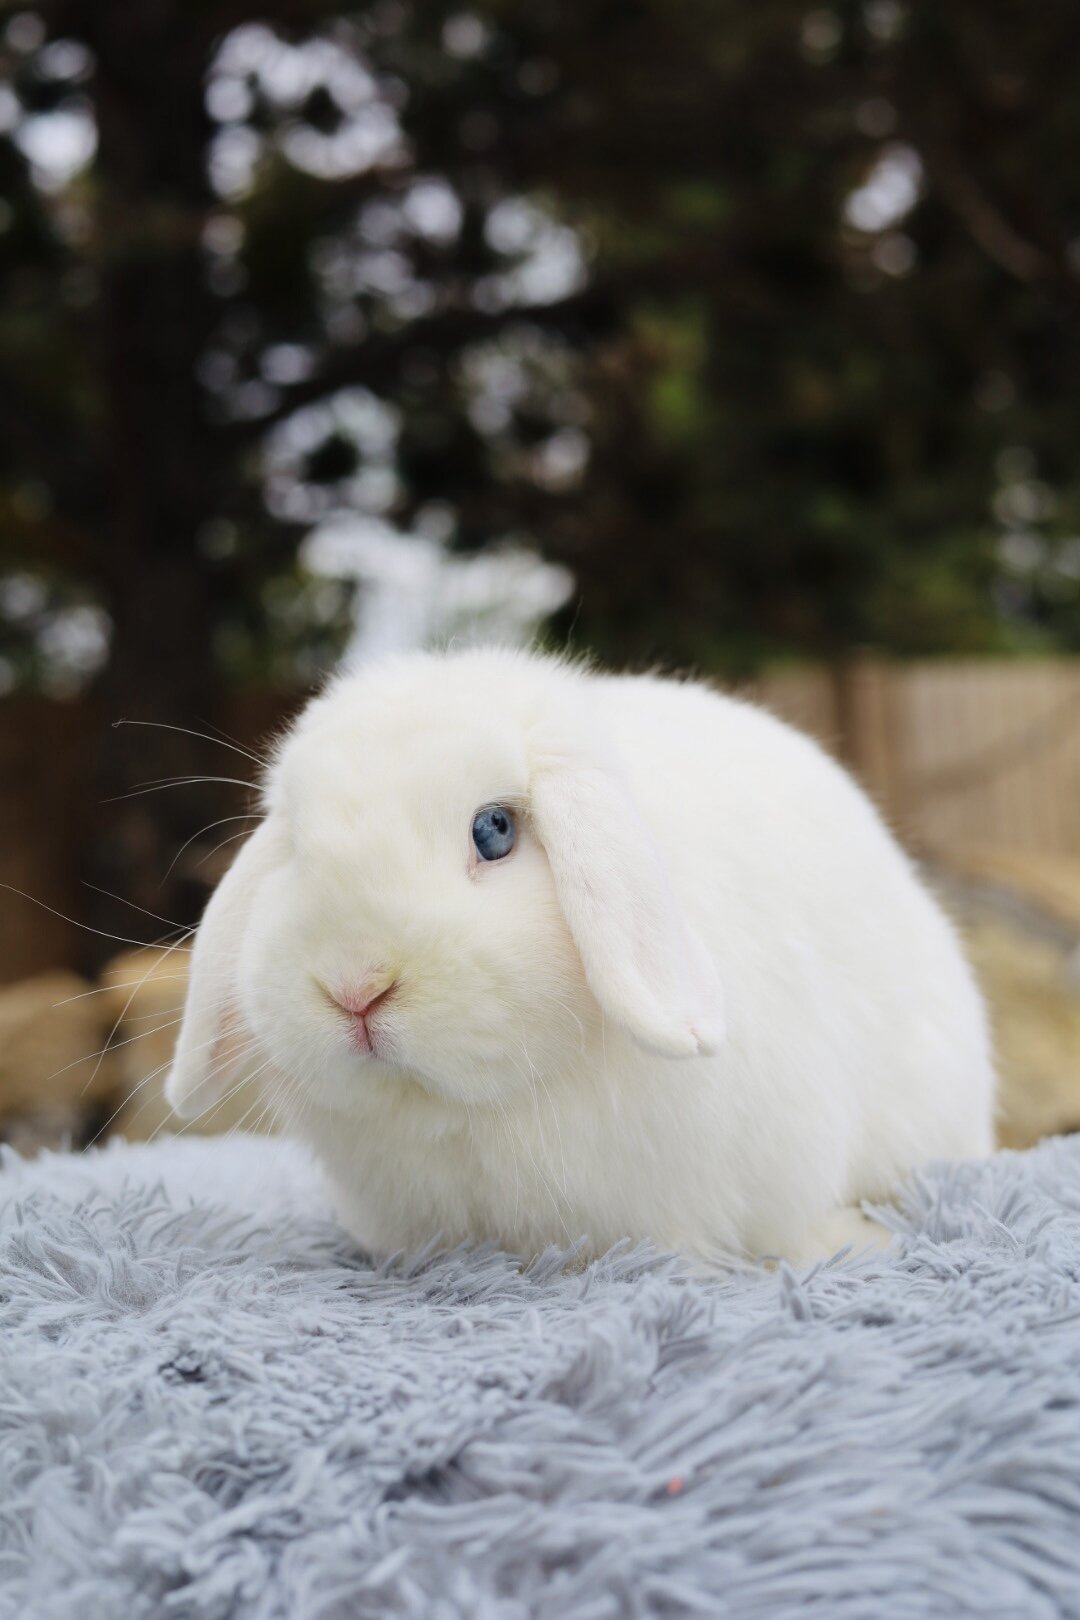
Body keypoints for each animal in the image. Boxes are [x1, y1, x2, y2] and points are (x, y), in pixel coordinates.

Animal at [165, 647, 996, 1265]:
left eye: (494, 830)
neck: (471, 1114)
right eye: (296, 850)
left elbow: (786, 1230)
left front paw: (847, 1243)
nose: (355, 987)